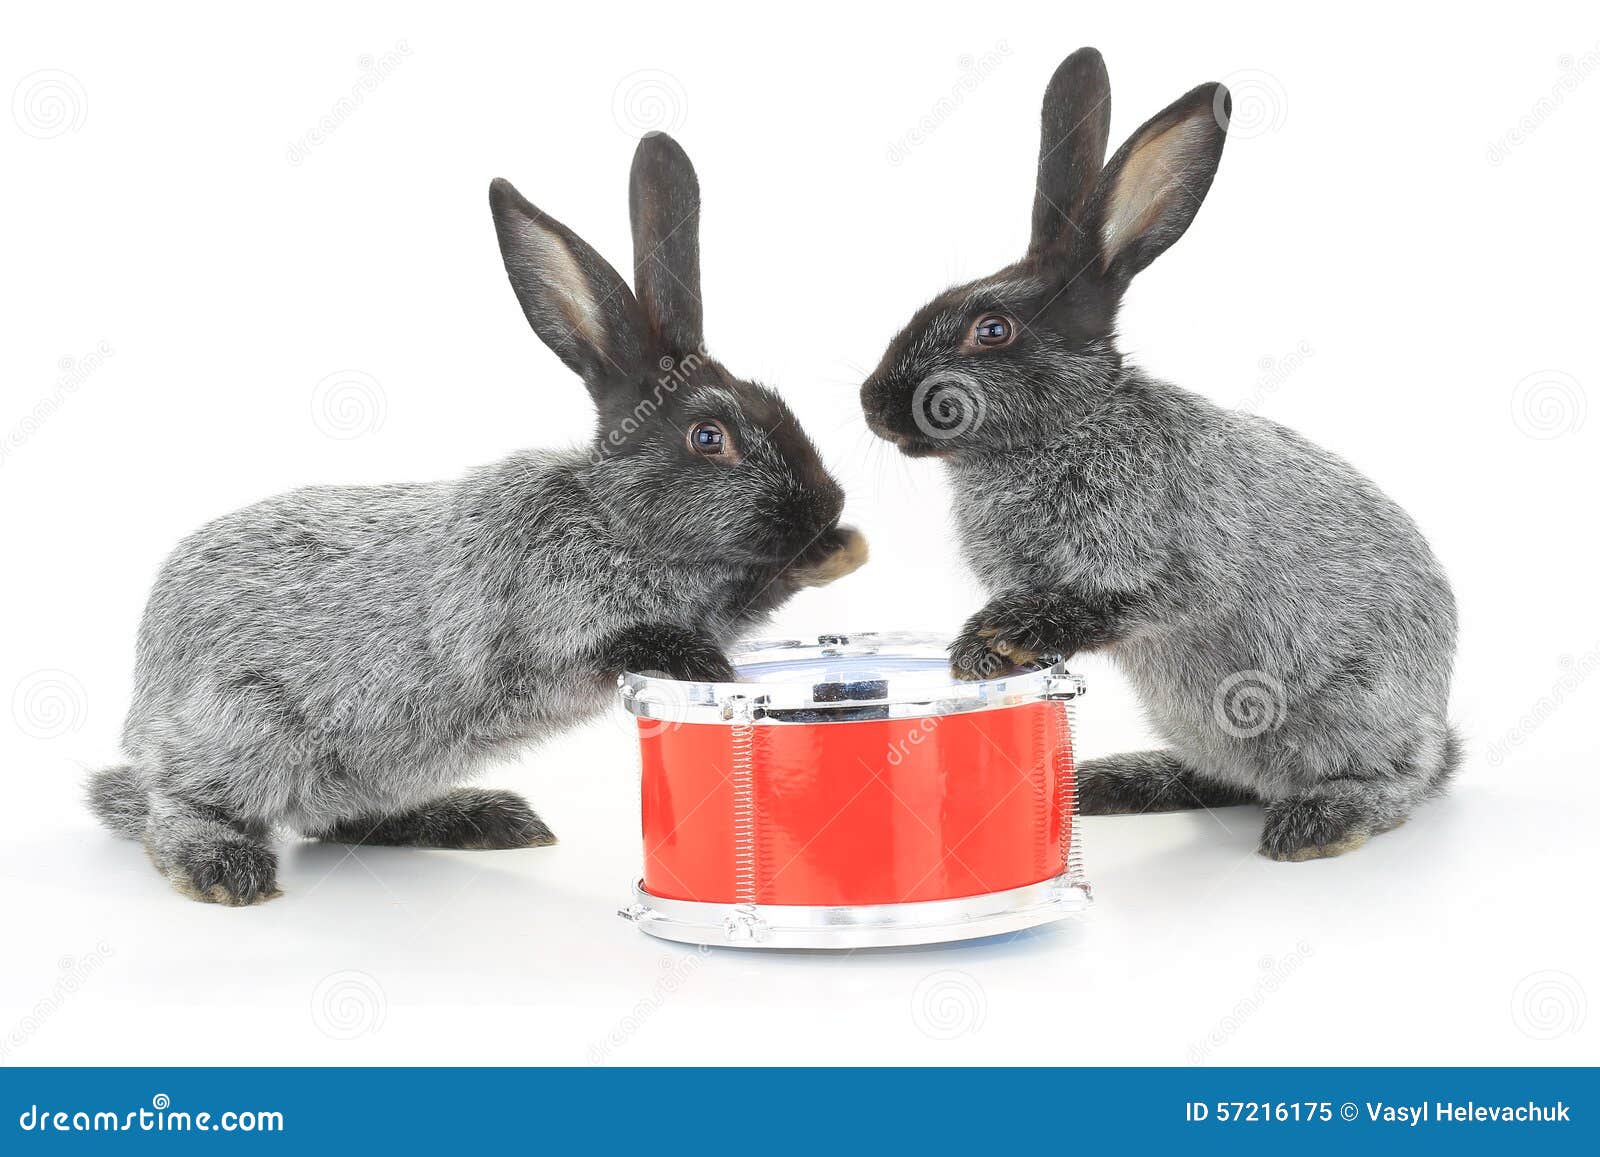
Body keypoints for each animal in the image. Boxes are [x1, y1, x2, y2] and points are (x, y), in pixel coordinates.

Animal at [88, 131, 868, 904]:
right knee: (179, 806)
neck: (612, 516)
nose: (827, 505)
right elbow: (615, 640)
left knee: (330, 818)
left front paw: (841, 550)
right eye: (709, 437)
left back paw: (475, 817)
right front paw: (698, 658)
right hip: (246, 733)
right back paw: (220, 866)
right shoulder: (544, 625)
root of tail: (143, 710)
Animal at [858, 48, 1458, 861]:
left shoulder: (1156, 570)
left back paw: (1316, 824)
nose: (872, 403)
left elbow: (1108, 605)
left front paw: (995, 639)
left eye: (992, 331)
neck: (1071, 426)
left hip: (1347, 713)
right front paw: (977, 655)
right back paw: (1119, 782)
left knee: (1396, 783)